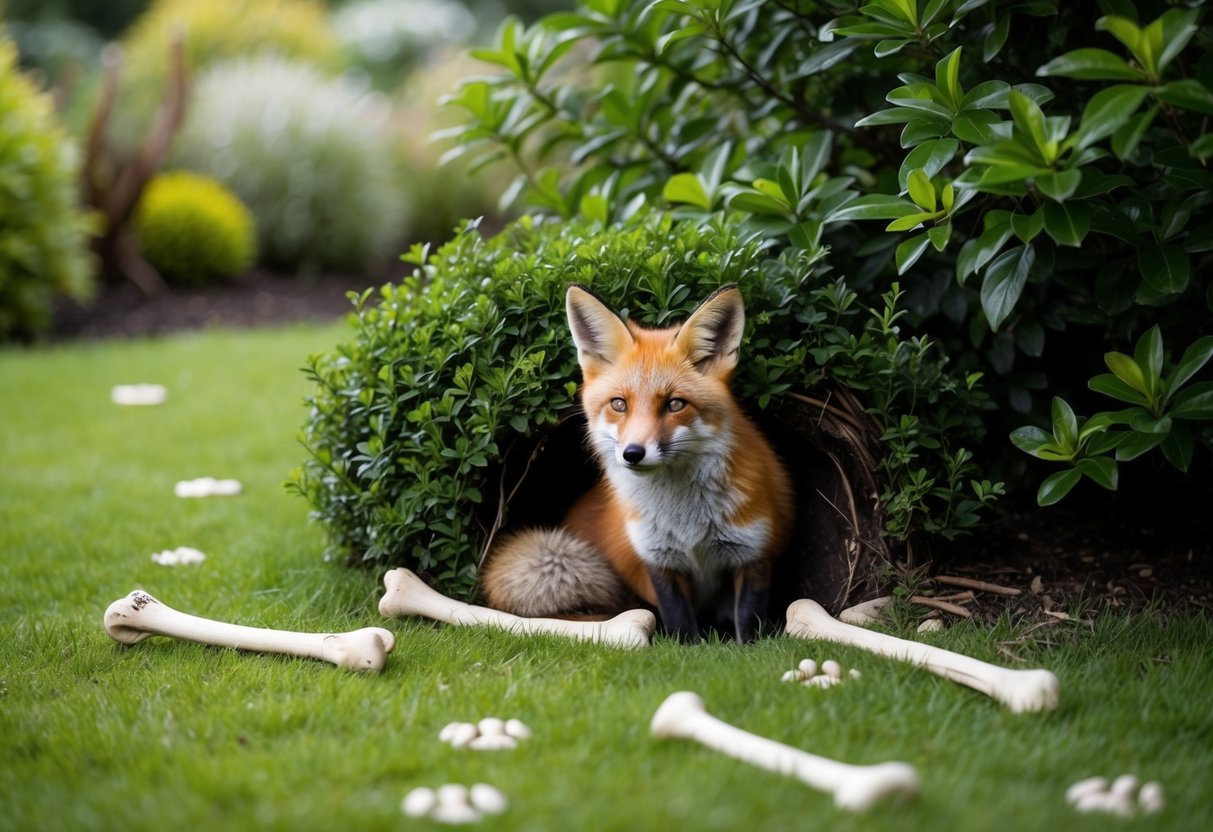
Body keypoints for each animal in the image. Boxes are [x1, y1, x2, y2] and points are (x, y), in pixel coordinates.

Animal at [480, 283, 795, 643]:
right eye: (619, 404)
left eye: (675, 404)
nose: (633, 452)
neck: (687, 524)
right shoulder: (657, 562)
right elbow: (680, 624)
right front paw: (687, 648)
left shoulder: (753, 557)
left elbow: (749, 629)